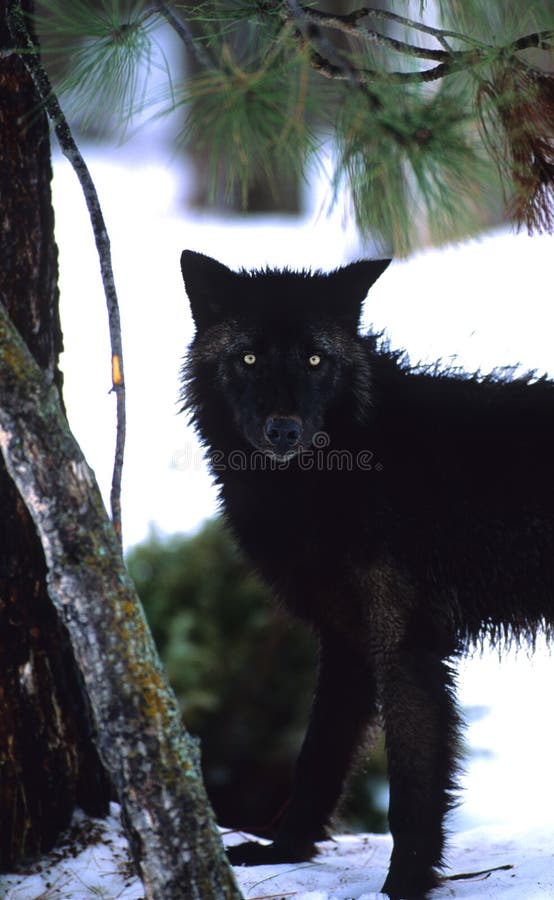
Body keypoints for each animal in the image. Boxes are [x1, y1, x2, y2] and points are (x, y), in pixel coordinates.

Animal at [179, 249, 554, 899]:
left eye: (314, 359)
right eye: (249, 357)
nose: (284, 430)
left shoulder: (405, 645)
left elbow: (411, 787)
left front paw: (404, 883)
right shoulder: (346, 640)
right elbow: (317, 756)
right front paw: (284, 850)